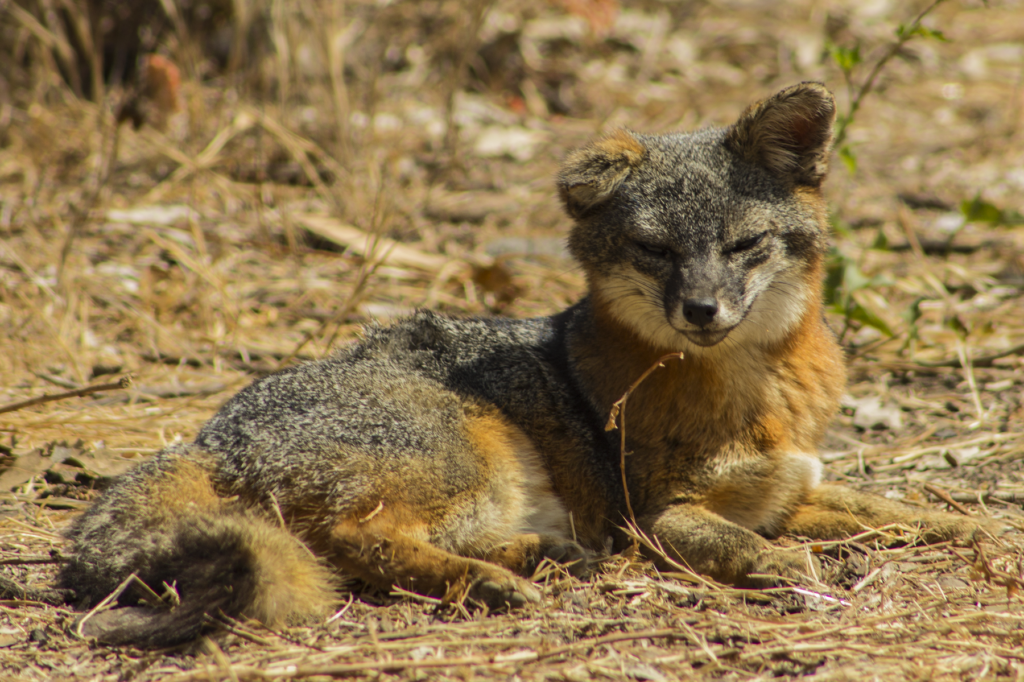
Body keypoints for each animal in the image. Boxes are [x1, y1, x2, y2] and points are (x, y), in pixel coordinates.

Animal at [58, 82, 996, 647]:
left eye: (742, 247)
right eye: (655, 251)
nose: (701, 311)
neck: (753, 393)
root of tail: (206, 434)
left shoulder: (791, 490)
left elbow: (891, 506)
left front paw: (977, 529)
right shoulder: (653, 514)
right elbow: (734, 538)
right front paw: (781, 567)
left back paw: (531, 558)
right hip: (468, 452)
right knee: (355, 542)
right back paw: (493, 582)